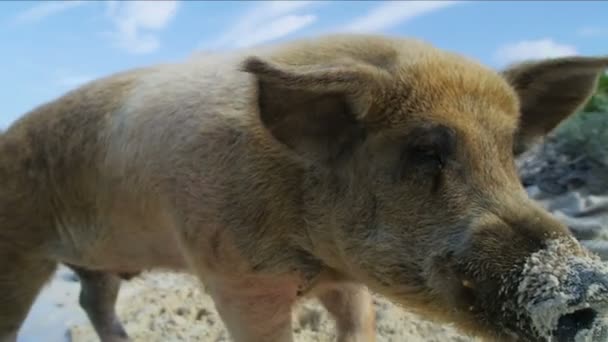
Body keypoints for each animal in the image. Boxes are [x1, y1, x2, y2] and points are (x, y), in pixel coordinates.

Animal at [1, 32, 608, 342]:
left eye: (511, 153)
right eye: (424, 152)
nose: (589, 287)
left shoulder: (345, 276)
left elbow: (359, 322)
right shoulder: (235, 275)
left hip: (95, 262)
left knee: (92, 297)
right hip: (19, 250)